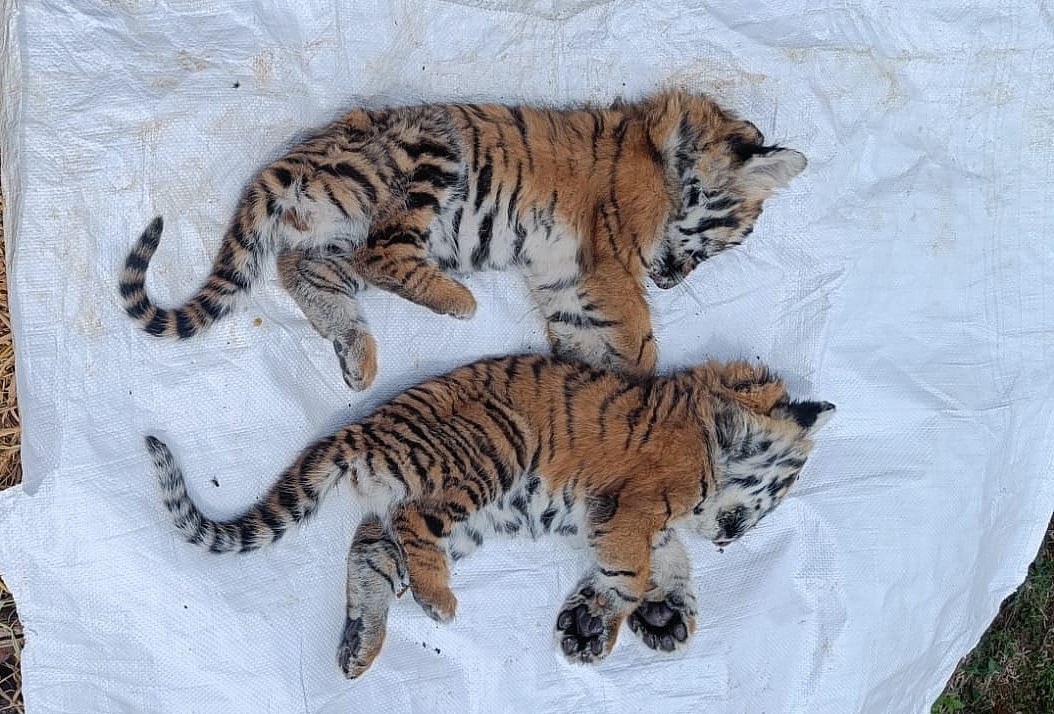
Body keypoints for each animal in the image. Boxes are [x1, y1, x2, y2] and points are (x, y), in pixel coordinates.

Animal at [120, 90, 806, 390]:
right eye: (720, 244)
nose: (670, 281)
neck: (665, 161)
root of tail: (296, 156)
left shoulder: (565, 274)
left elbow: (584, 334)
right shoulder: (606, 259)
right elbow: (635, 325)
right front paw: (643, 373)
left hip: (325, 241)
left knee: (309, 274)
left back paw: (359, 359)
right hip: (429, 151)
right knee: (383, 253)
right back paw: (458, 301)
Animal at [144, 354, 834, 676]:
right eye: (777, 493)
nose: (731, 538)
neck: (711, 429)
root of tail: (361, 429)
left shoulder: (631, 522)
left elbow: (665, 559)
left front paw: (656, 616)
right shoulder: (632, 508)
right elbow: (634, 570)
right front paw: (612, 615)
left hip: (461, 519)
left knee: (371, 546)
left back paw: (362, 644)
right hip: (492, 452)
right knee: (408, 523)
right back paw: (440, 603)